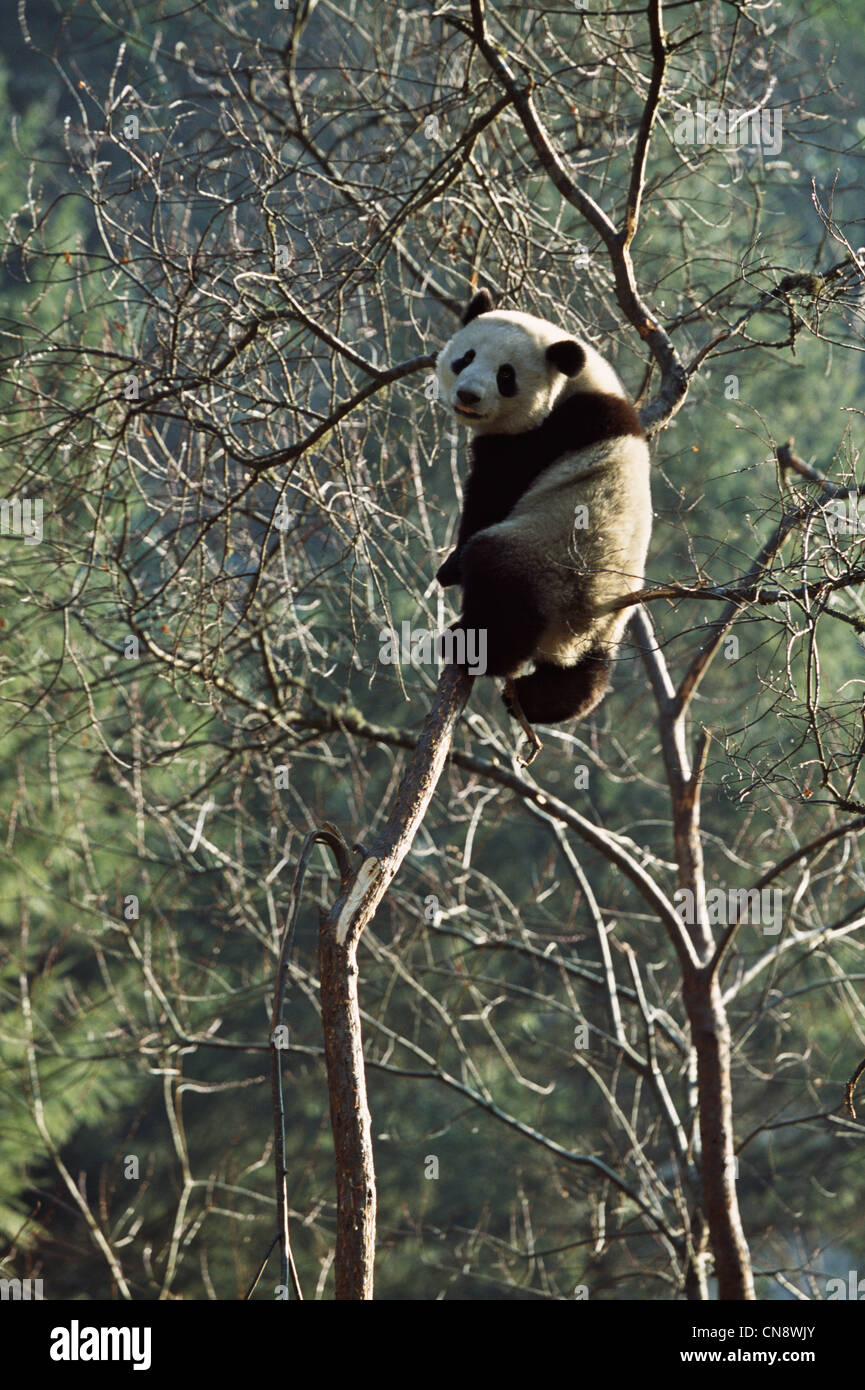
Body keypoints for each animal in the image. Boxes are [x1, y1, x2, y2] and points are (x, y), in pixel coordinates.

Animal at [435, 289, 651, 725]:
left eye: (506, 376)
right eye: (465, 357)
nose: (468, 396)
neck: (578, 383)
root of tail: (574, 630)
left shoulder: (541, 439)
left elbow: (491, 497)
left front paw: (450, 568)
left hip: (544, 561)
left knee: (500, 587)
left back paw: (469, 647)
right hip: (610, 624)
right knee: (586, 674)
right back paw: (544, 700)